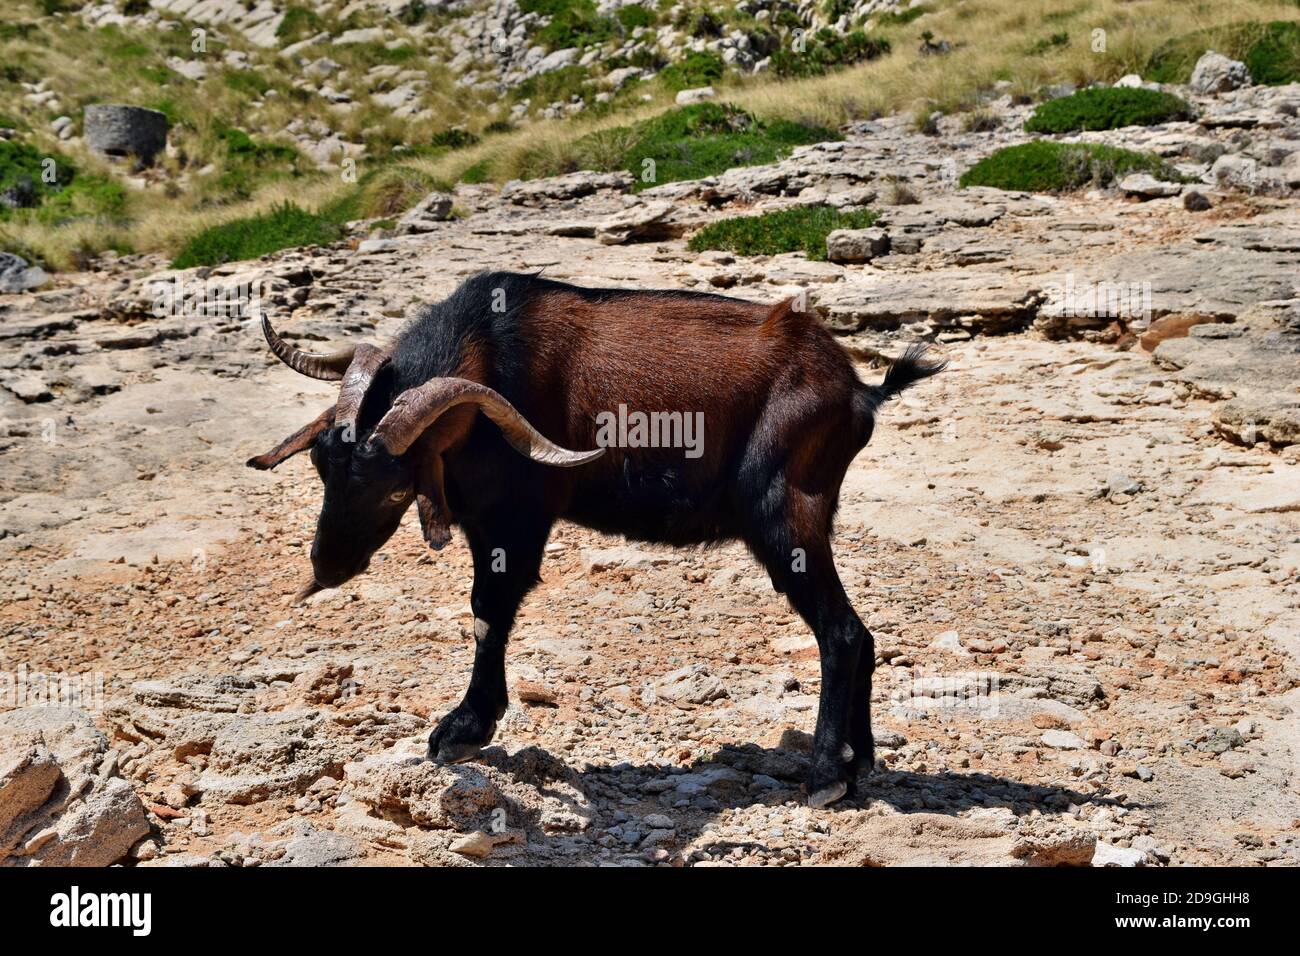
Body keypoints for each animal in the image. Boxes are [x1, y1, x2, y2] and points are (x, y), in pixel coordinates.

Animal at [248, 271, 943, 807]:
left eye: (396, 490)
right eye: (321, 466)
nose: (326, 566)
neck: (494, 352)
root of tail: (859, 391)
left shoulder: (518, 516)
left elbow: (489, 610)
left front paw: (465, 728)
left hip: (785, 515)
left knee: (841, 632)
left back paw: (825, 775)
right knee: (861, 633)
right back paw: (860, 764)